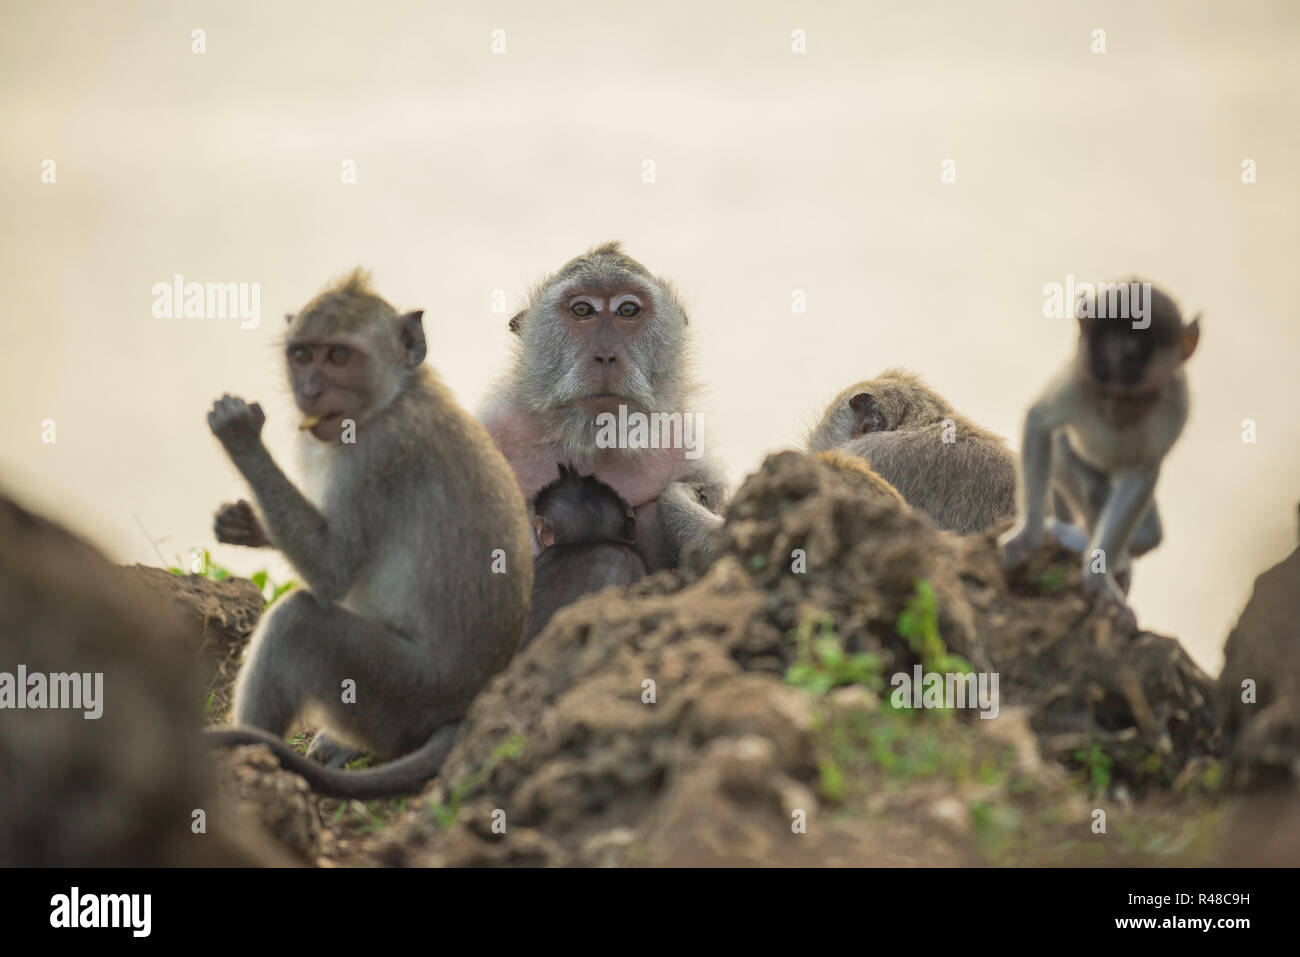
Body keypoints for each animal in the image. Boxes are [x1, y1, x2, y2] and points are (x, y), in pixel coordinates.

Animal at [204, 268, 533, 799]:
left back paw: (253, 752)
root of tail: (463, 708)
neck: (394, 398)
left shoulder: (376, 455)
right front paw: (243, 522)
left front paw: (240, 435)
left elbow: (332, 570)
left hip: (401, 693)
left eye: (338, 357)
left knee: (297, 623)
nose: (311, 391)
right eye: (303, 356)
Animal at [999, 281, 1200, 634]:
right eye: (1105, 389)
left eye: (1137, 395)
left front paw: (1099, 576)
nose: (1116, 413)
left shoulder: (1176, 402)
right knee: (1071, 461)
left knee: (1148, 533)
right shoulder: (1077, 382)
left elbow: (1144, 471)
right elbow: (1041, 424)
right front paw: (1028, 535)